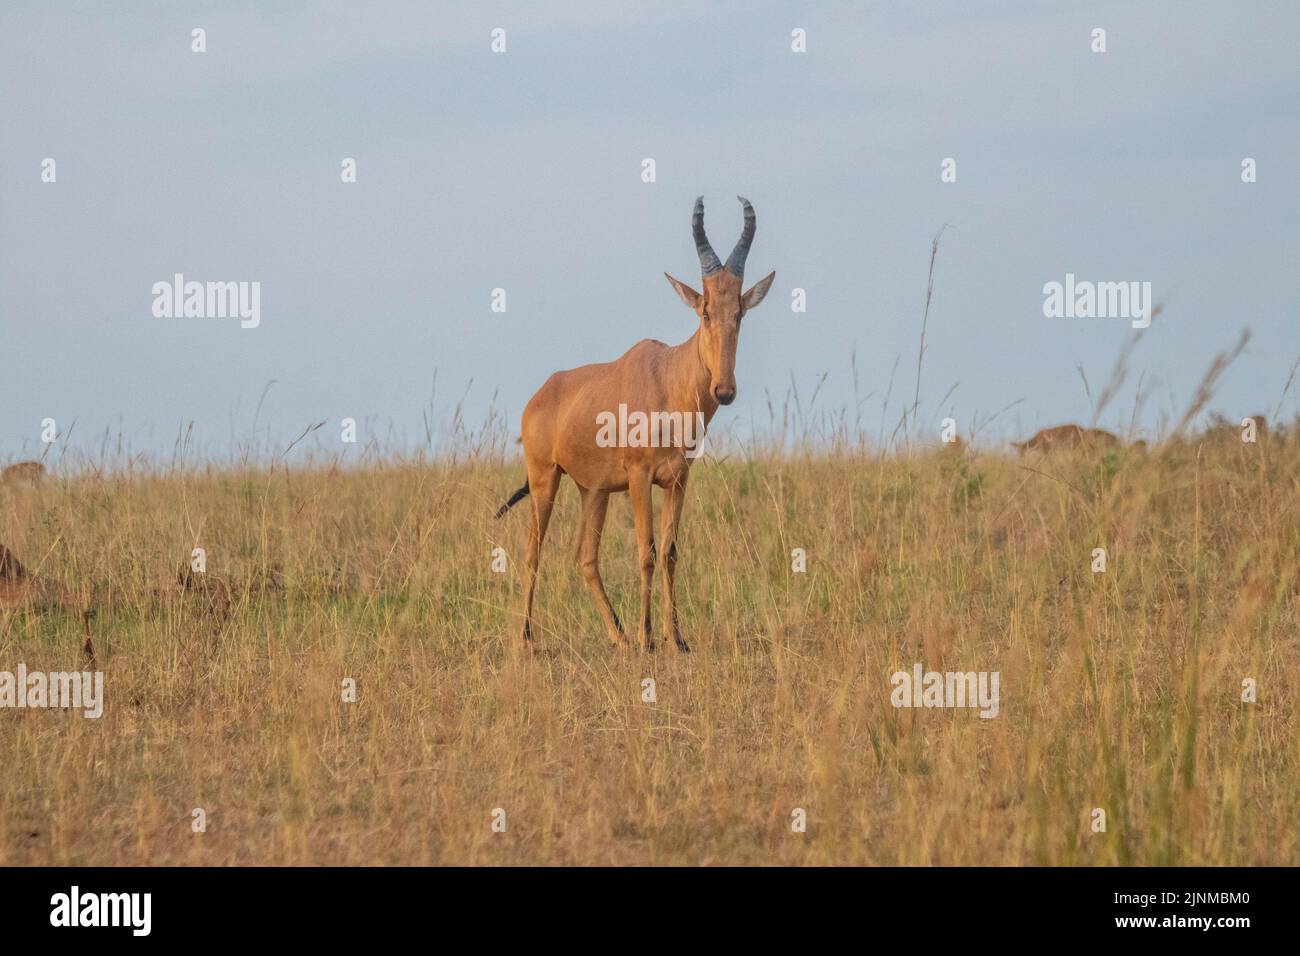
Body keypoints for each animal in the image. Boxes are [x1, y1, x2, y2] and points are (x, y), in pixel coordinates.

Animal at [496, 196, 776, 652]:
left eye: (739, 312)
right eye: (704, 312)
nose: (724, 390)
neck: (668, 379)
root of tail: (542, 393)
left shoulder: (678, 479)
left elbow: (670, 553)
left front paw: (675, 638)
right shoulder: (639, 478)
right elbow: (645, 552)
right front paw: (649, 638)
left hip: (593, 490)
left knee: (585, 557)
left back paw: (619, 636)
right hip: (544, 478)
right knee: (531, 551)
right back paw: (527, 638)